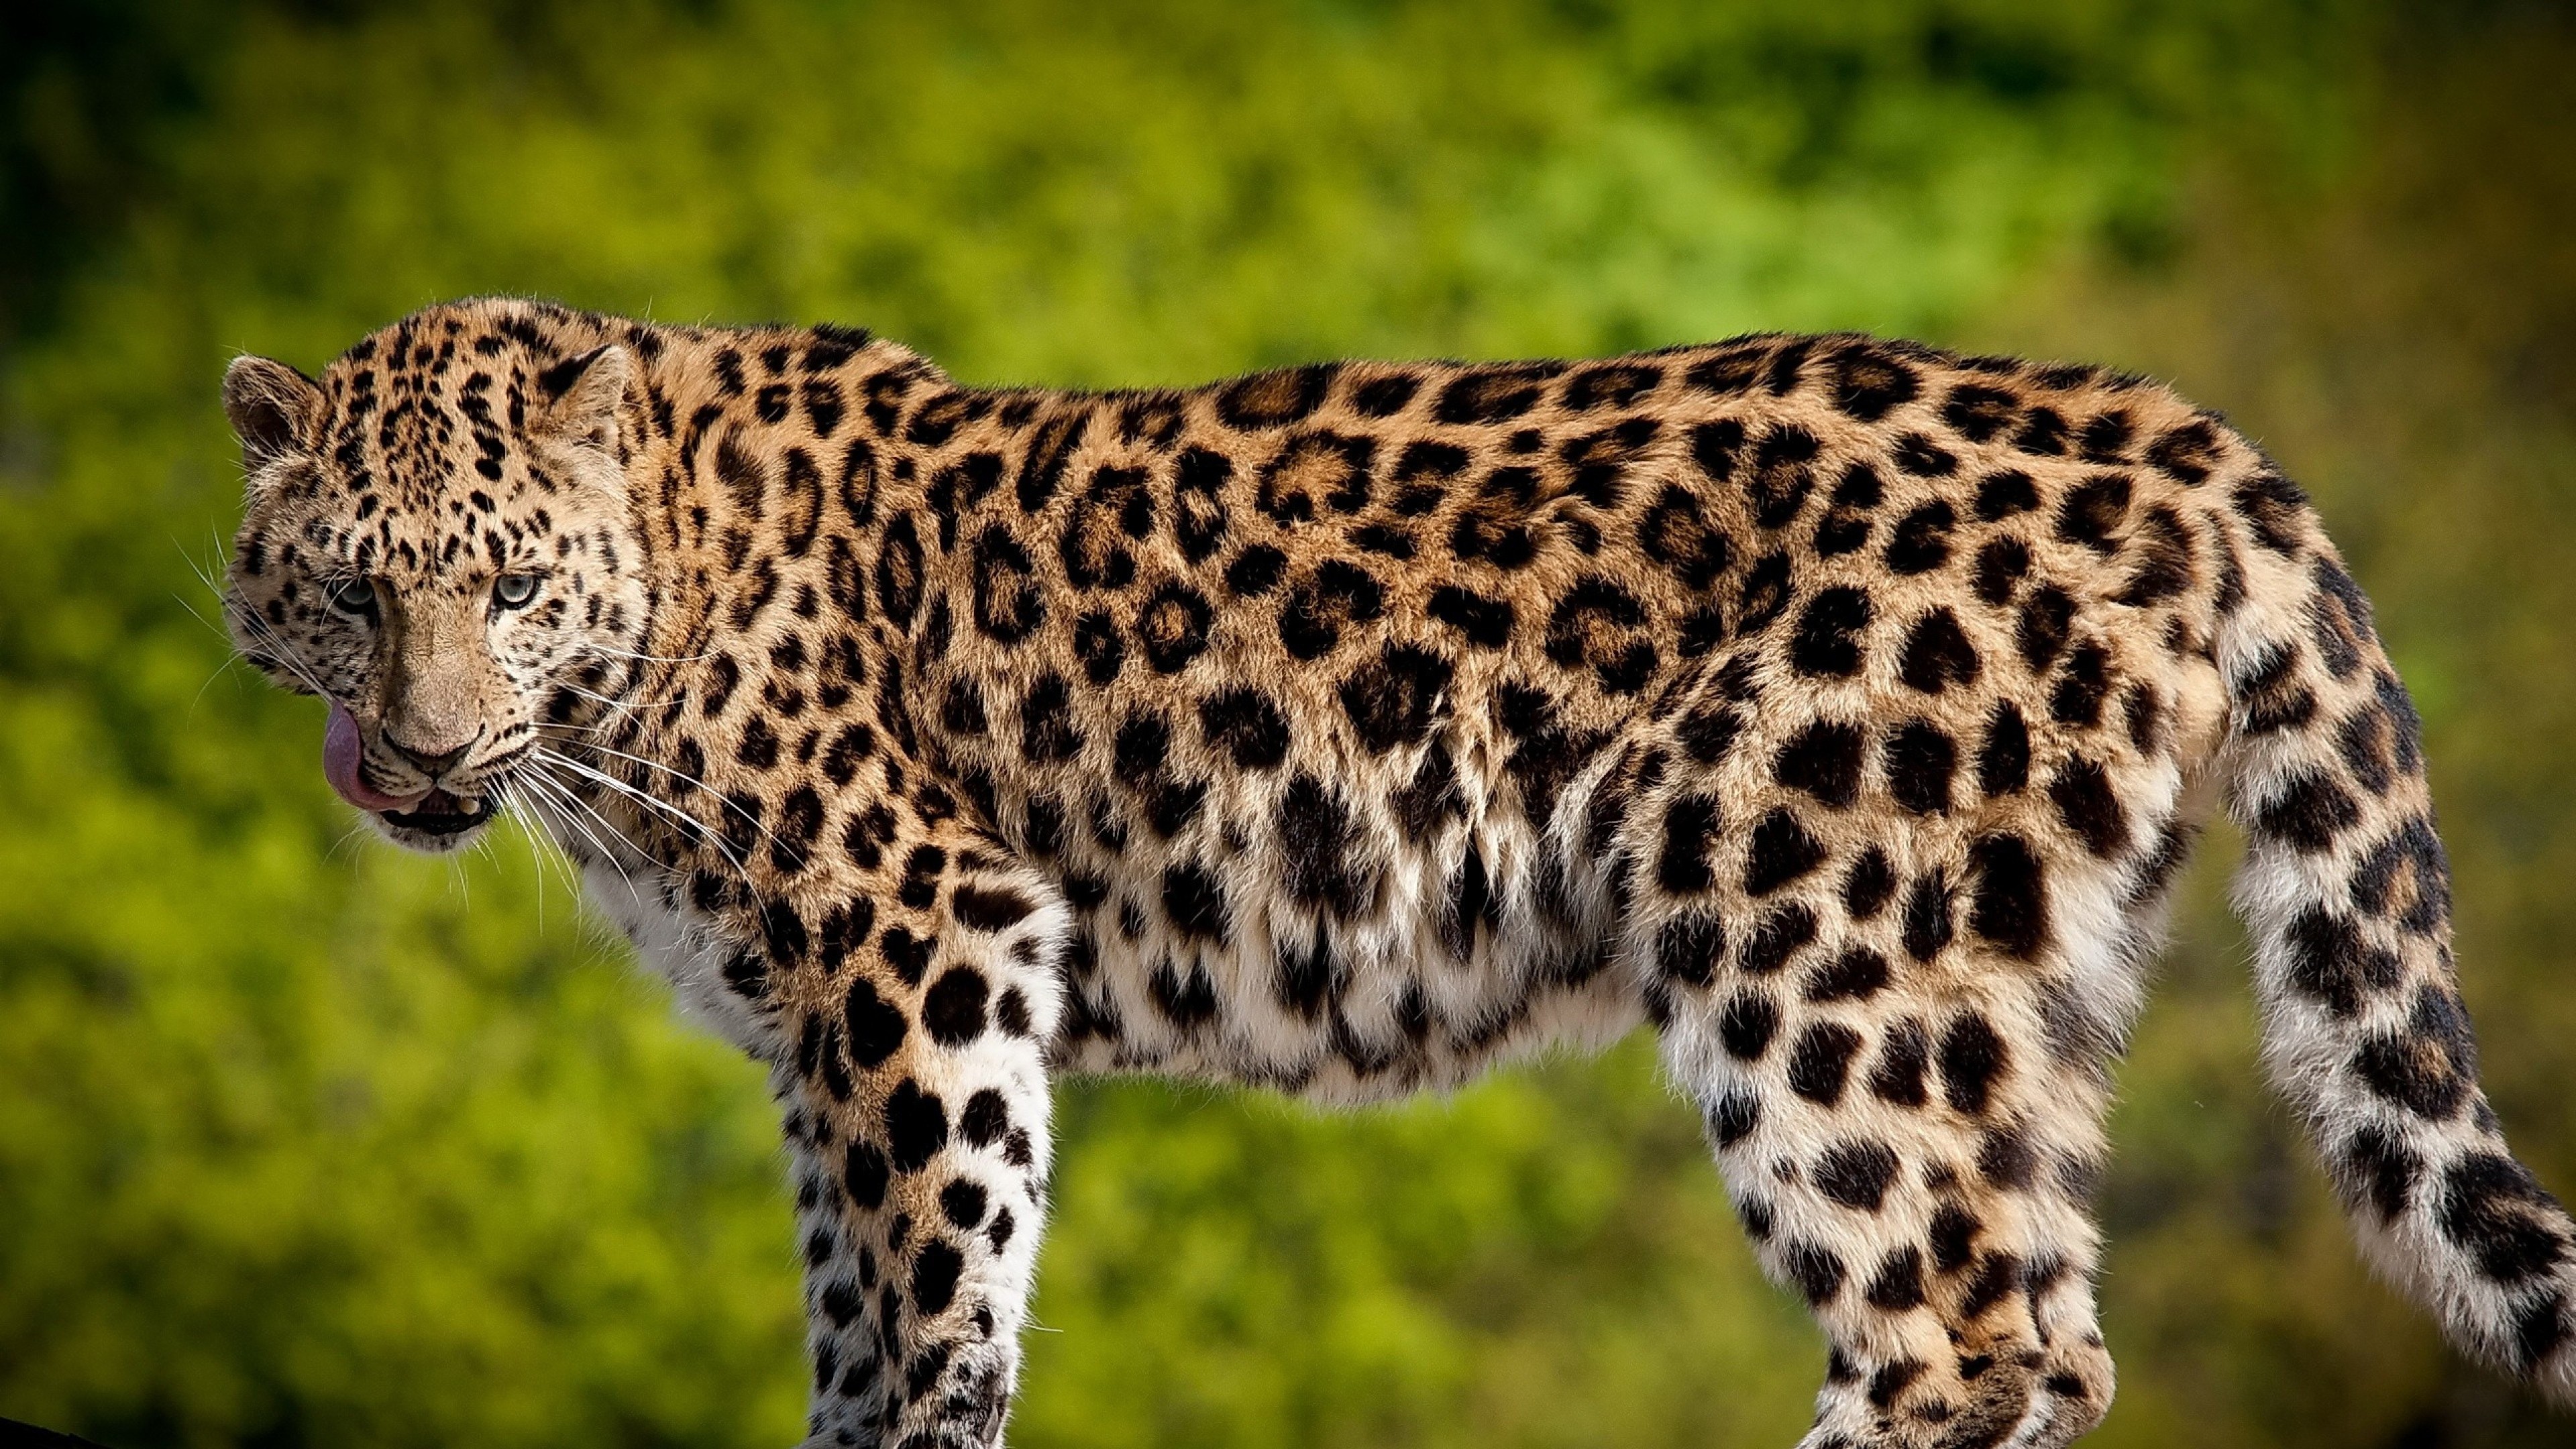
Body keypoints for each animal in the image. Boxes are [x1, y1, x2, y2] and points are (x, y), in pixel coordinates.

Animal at [218, 295, 2576, 1448]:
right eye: (349, 596)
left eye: (510, 592)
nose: (418, 755)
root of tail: (2182, 438)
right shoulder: (820, 1027)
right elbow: (849, 1321)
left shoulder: (921, 941)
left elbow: (937, 1307)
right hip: (2016, 988)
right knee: (2054, 1334)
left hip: (1810, 939)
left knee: (1955, 1337)